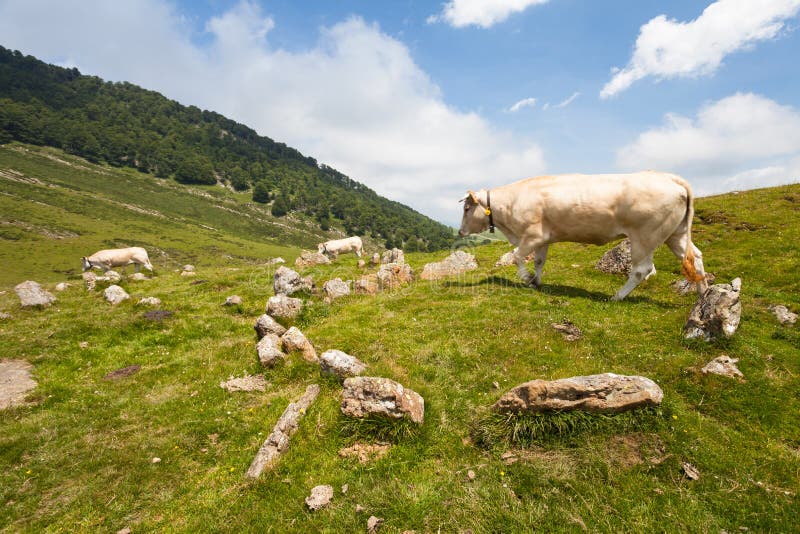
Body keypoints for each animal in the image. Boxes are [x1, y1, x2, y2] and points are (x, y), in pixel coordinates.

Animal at [458, 172, 707, 301]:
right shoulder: (543, 239)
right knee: (696, 257)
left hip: (645, 237)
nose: (460, 231)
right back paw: (703, 295)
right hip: (675, 233)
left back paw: (617, 296)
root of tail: (671, 178)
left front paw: (527, 278)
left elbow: (517, 256)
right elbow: (539, 261)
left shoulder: (532, 235)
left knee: (641, 270)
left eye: (467, 208)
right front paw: (536, 281)